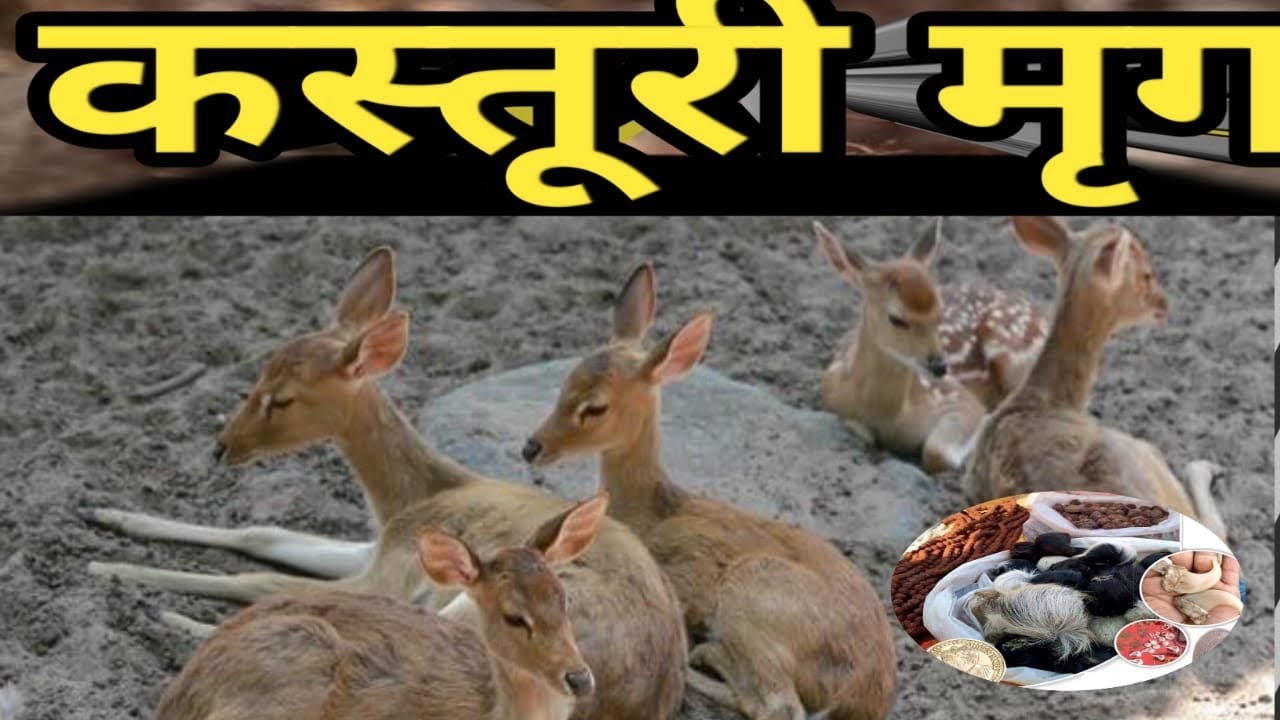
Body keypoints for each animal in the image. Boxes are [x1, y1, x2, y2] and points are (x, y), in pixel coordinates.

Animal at [521, 262, 897, 720]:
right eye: (564, 382)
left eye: (596, 407)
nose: (531, 447)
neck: (648, 511)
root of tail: (866, 692)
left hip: (752, 593)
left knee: (778, 703)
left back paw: (707, 657)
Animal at [813, 218, 1048, 474]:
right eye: (896, 318)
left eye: (939, 311)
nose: (939, 367)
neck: (888, 415)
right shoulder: (831, 398)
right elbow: (863, 434)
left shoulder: (957, 396)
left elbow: (935, 452)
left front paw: (986, 426)